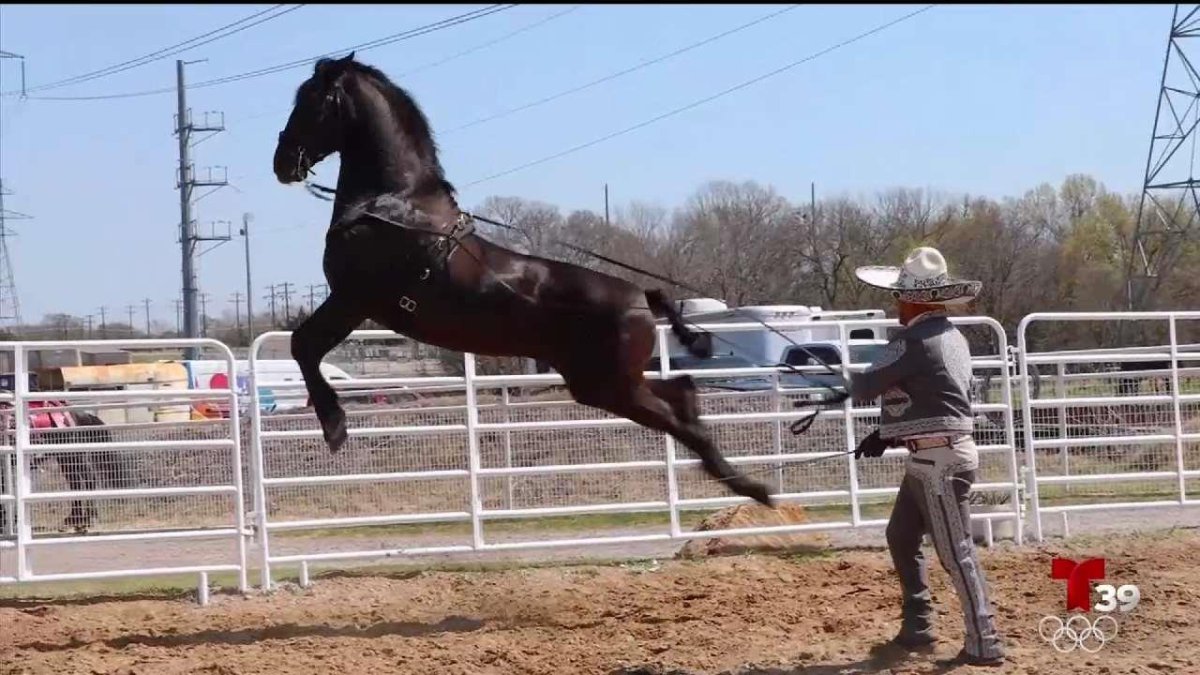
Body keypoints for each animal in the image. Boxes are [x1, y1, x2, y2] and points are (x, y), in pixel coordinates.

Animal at [271, 53, 777, 507]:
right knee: (683, 392)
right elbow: (304, 346)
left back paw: (756, 490)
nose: (282, 161)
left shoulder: (352, 300)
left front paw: (335, 426)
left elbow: (303, 345)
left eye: (311, 101)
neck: (392, 206)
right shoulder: (351, 303)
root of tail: (641, 297)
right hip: (606, 383)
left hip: (610, 385)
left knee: (684, 420)